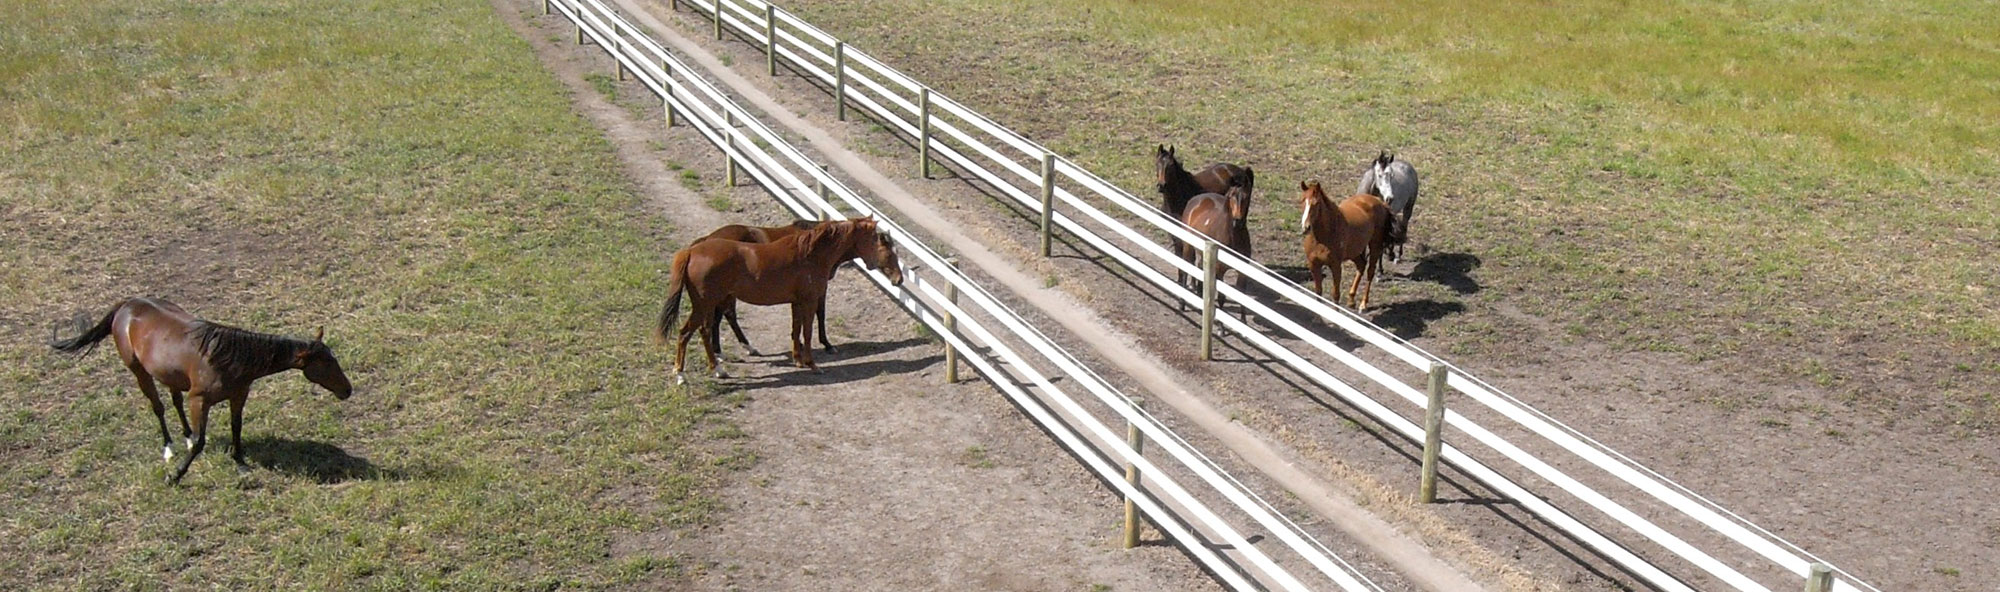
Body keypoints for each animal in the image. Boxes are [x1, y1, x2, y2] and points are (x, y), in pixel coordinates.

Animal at [47, 297, 353, 485]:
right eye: (326, 363)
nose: (348, 390)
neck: (228, 357)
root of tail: (128, 304)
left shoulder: (238, 395)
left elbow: (236, 427)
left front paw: (240, 462)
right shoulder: (200, 400)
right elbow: (202, 441)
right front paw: (175, 476)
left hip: (169, 375)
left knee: (174, 401)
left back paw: (185, 437)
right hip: (139, 371)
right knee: (158, 406)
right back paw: (169, 447)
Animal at [696, 219, 841, 356]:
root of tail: (708, 239)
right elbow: (820, 313)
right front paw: (827, 344)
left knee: (727, 315)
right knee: (721, 317)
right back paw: (721, 351)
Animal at [1176, 185, 1254, 319]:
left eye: (1246, 197)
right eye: (1231, 197)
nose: (1237, 221)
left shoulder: (1243, 271)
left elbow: (1241, 296)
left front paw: (1243, 321)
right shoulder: (1220, 269)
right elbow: (1222, 298)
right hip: (1188, 247)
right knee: (1186, 270)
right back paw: (1182, 303)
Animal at [1298, 180, 1393, 311]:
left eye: (1316, 203)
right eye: (1302, 201)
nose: (1305, 227)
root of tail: (1378, 201)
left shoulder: (1335, 266)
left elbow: (1335, 294)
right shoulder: (1314, 265)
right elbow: (1318, 293)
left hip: (1375, 246)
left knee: (1370, 271)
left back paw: (1363, 304)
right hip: (1355, 251)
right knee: (1361, 265)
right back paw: (1351, 300)